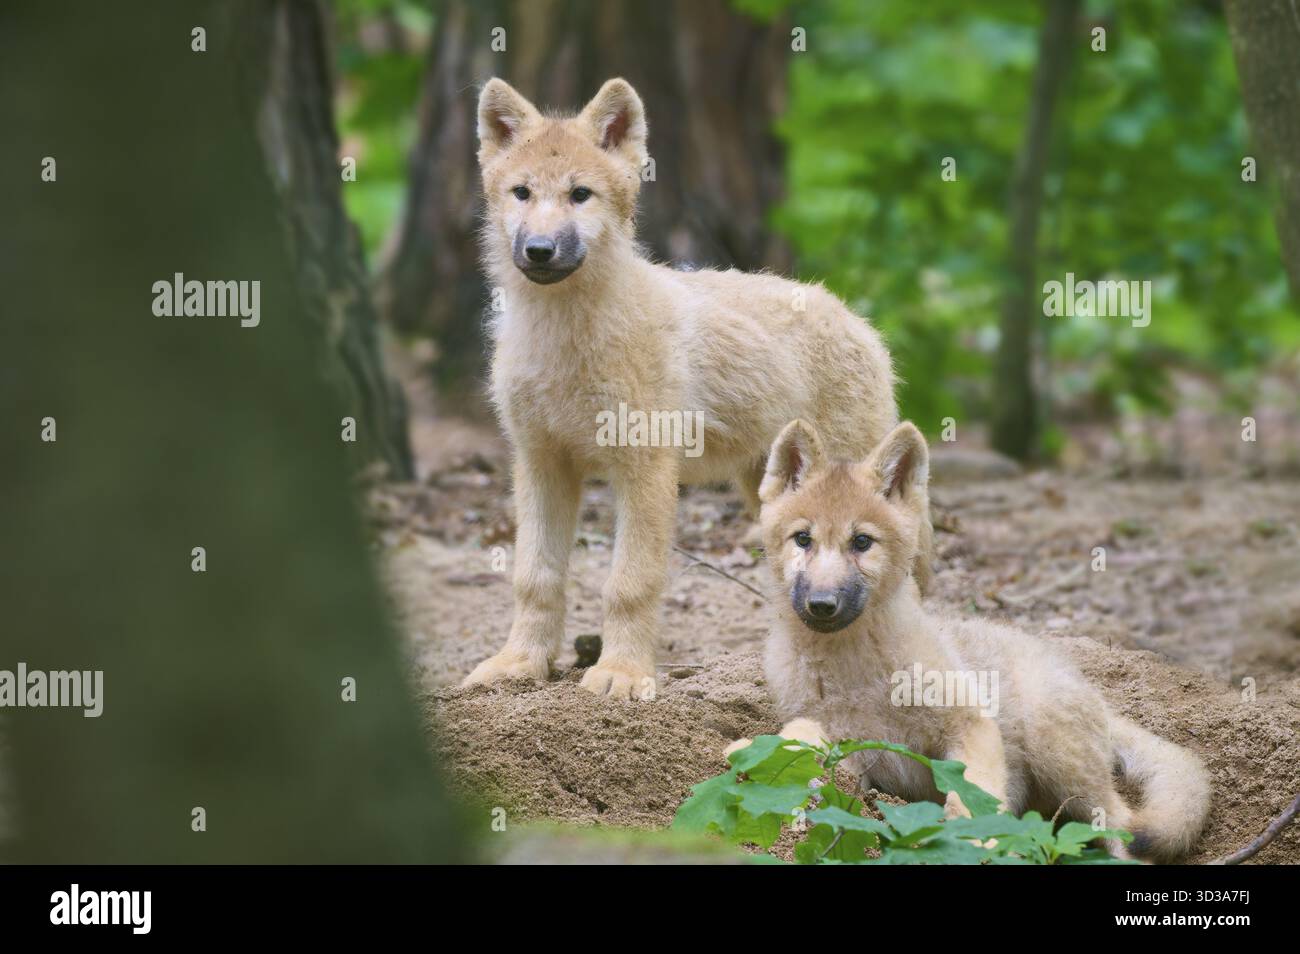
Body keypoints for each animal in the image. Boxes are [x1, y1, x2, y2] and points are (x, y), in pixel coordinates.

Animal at [463, 77, 933, 699]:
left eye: (580, 195)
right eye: (521, 192)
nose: (539, 249)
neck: (564, 336)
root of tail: (857, 320)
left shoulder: (646, 471)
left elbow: (629, 583)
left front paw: (621, 675)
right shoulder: (540, 464)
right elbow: (534, 578)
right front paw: (520, 665)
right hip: (766, 496)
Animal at [730, 419, 1211, 860]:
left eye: (862, 542)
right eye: (803, 539)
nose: (822, 604)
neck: (854, 670)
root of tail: (1094, 695)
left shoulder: (969, 725)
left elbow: (972, 805)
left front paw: (975, 844)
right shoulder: (854, 757)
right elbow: (798, 747)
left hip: (1059, 754)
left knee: (1123, 828)